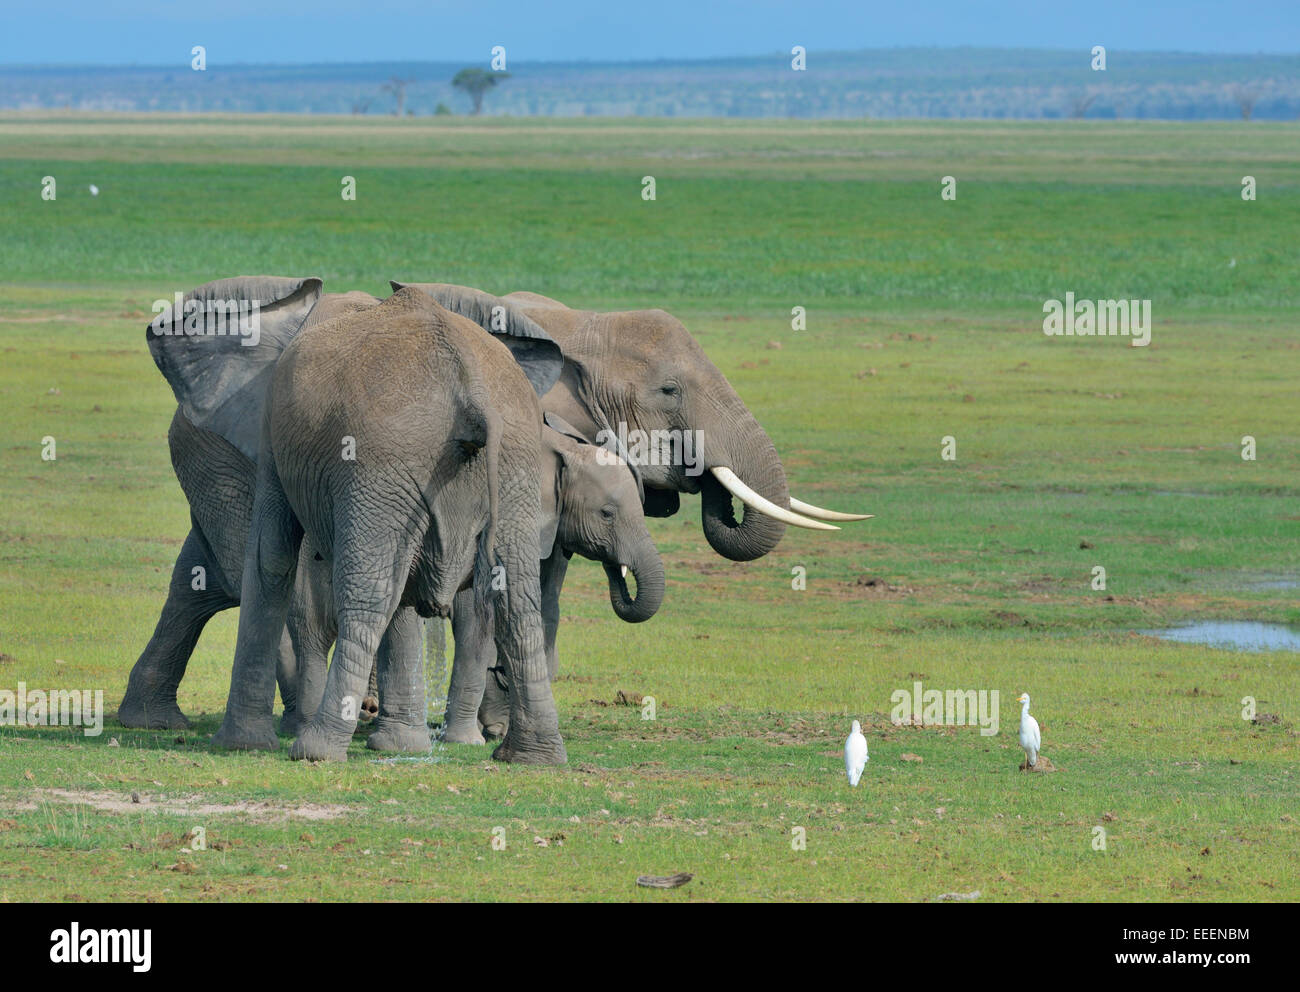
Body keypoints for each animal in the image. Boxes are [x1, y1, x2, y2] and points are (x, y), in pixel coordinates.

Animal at [390, 282, 871, 737]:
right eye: (669, 391)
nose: (706, 477)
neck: (582, 328)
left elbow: (546, 592)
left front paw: (503, 723)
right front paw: (491, 728)